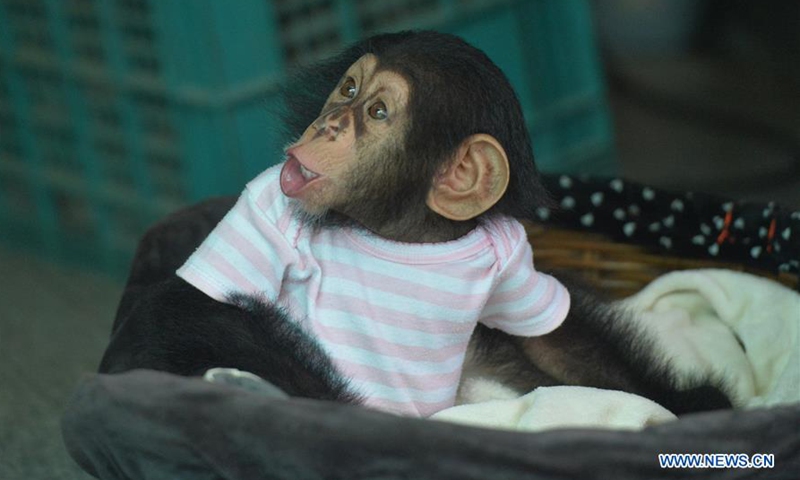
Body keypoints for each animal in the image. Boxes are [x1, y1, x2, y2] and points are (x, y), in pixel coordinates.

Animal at [99, 31, 731, 417]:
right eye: (348, 89)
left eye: (377, 112)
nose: (328, 125)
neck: (401, 233)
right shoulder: (263, 205)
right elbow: (191, 306)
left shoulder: (511, 256)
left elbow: (550, 333)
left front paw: (688, 406)